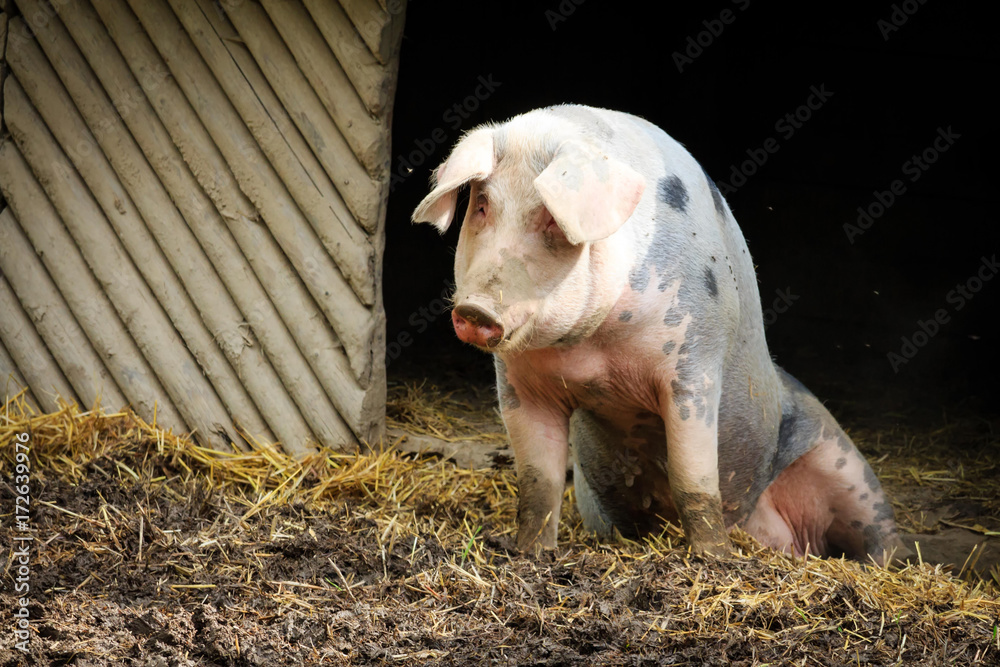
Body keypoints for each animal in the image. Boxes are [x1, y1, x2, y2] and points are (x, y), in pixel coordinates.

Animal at [412, 104, 907, 564]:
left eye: (551, 218)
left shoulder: (694, 364)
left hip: (846, 466)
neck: (594, 351)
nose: (475, 309)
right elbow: (538, 483)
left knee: (878, 536)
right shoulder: (519, 386)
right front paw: (532, 555)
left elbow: (693, 479)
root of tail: (760, 526)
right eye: (482, 206)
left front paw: (715, 560)